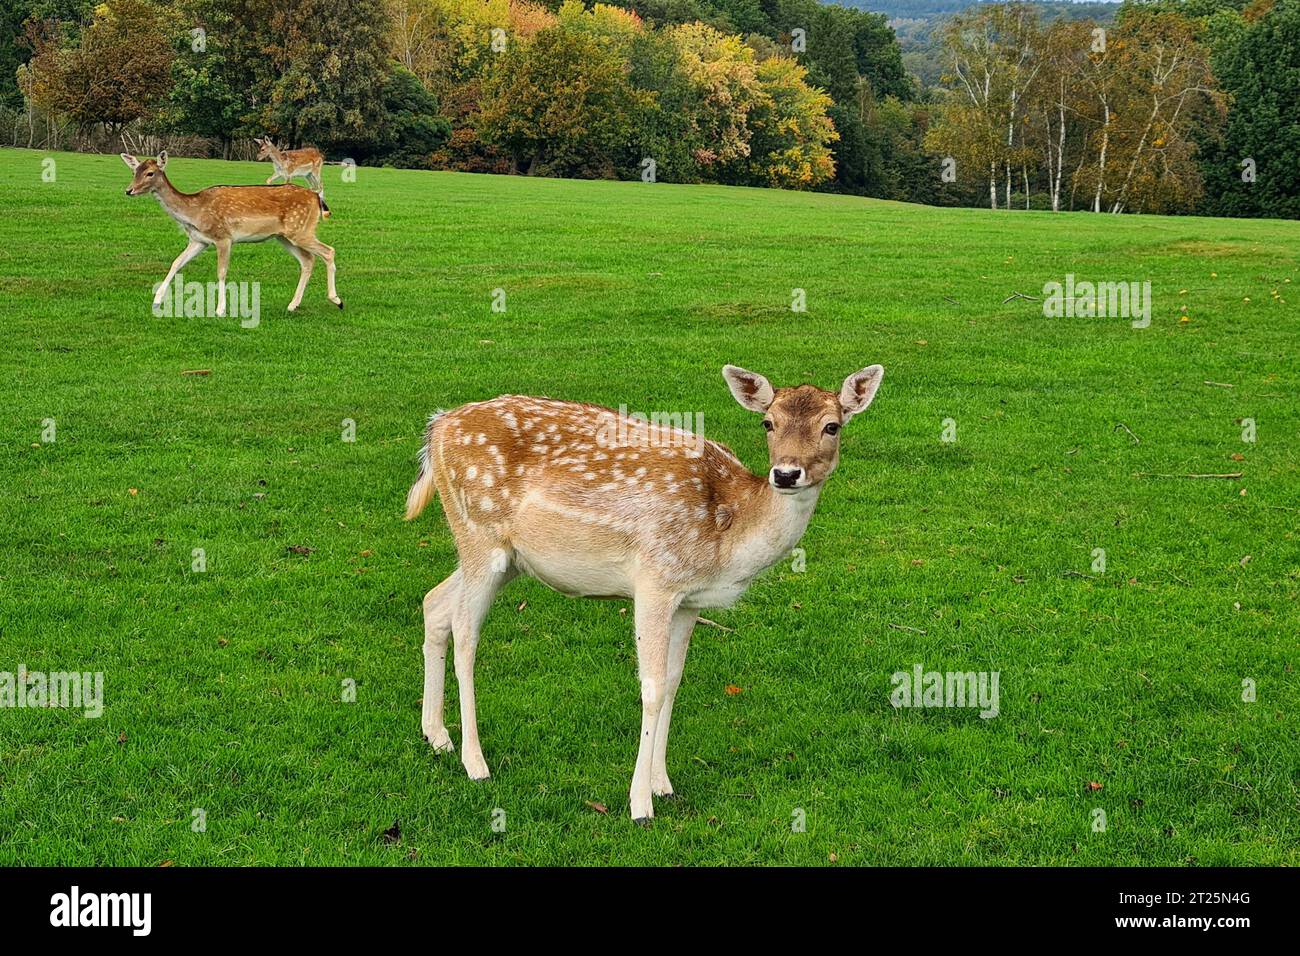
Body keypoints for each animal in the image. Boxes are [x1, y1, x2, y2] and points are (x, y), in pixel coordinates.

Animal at [121, 151, 342, 315]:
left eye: (150, 173)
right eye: (134, 171)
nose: (129, 190)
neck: (194, 212)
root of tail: (317, 198)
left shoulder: (223, 237)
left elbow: (221, 272)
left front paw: (220, 309)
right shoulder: (198, 240)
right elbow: (176, 263)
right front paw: (157, 300)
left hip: (301, 229)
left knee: (328, 251)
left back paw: (337, 300)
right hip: (284, 236)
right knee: (308, 260)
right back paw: (292, 305)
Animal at [403, 364, 884, 822]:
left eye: (832, 426)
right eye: (768, 422)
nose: (785, 474)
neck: (727, 539)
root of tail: (438, 426)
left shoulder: (689, 600)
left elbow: (672, 682)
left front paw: (662, 784)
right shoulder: (655, 579)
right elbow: (650, 688)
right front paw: (639, 805)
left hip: (507, 557)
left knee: (435, 603)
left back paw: (436, 735)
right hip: (479, 533)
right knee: (466, 632)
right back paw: (475, 762)